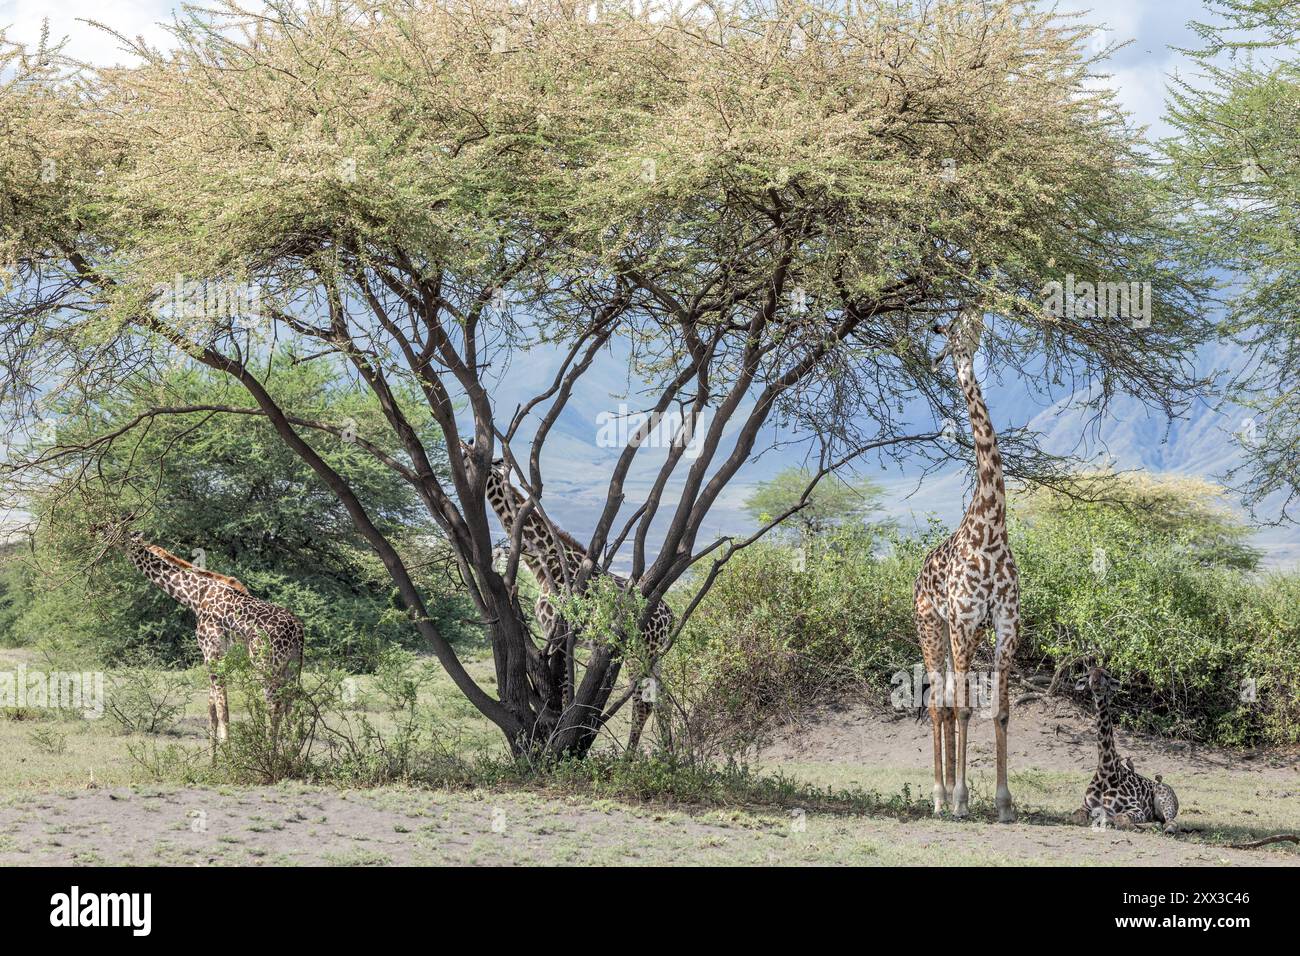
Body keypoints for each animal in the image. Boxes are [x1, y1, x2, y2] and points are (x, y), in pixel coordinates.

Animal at [108, 530, 304, 743]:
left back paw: (270, 748)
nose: (109, 541)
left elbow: (221, 709)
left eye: (123, 537)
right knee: (292, 706)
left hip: (265, 663)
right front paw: (214, 752)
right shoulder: (218, 656)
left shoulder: (211, 652)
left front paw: (226, 748)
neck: (195, 596)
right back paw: (292, 751)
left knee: (275, 705)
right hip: (292, 667)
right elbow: (212, 710)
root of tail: (298, 629)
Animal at [466, 444, 674, 751]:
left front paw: (560, 740)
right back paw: (673, 753)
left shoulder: (561, 633)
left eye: (468, 458)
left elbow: (564, 692)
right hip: (654, 652)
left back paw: (631, 756)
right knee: (664, 700)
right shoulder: (557, 635)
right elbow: (560, 689)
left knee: (643, 701)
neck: (546, 564)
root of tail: (670, 616)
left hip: (640, 649)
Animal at [1072, 667, 1180, 832]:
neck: (1105, 773)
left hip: (1165, 798)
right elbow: (1077, 817)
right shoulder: (1085, 806)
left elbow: (1120, 819)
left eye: (1106, 675)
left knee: (1169, 823)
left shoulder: (1136, 809)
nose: (1095, 683)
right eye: (1088, 674)